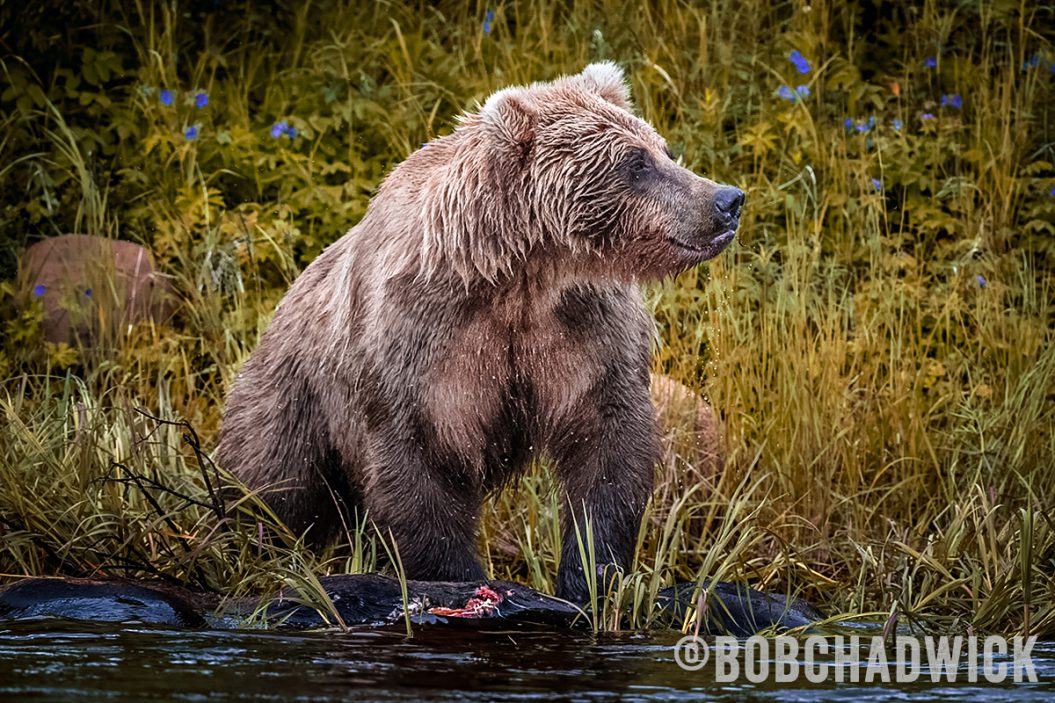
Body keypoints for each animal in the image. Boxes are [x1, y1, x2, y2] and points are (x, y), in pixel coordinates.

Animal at [217, 63, 743, 603]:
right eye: (635, 163)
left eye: (663, 150)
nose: (727, 199)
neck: (521, 274)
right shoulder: (419, 341)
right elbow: (417, 462)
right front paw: (458, 576)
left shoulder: (585, 328)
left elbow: (608, 447)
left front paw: (592, 574)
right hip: (292, 394)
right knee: (272, 483)